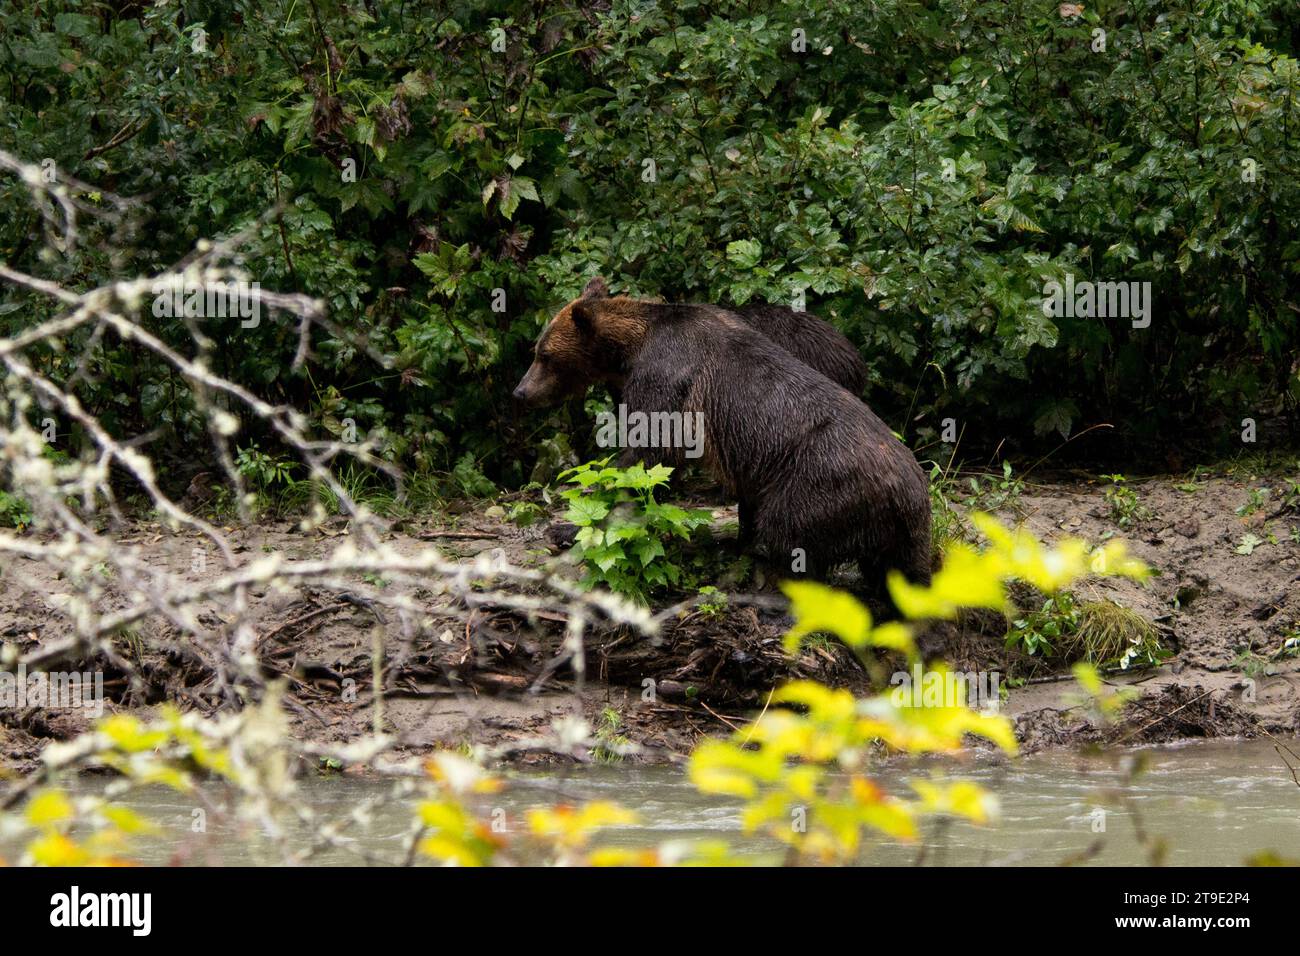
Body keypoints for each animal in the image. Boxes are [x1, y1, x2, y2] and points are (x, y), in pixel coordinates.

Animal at [513, 279, 932, 591]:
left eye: (544, 355)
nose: (521, 392)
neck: (630, 349)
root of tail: (907, 494)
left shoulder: (666, 377)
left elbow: (648, 455)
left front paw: (567, 526)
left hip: (819, 485)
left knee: (789, 534)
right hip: (901, 535)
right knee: (900, 579)